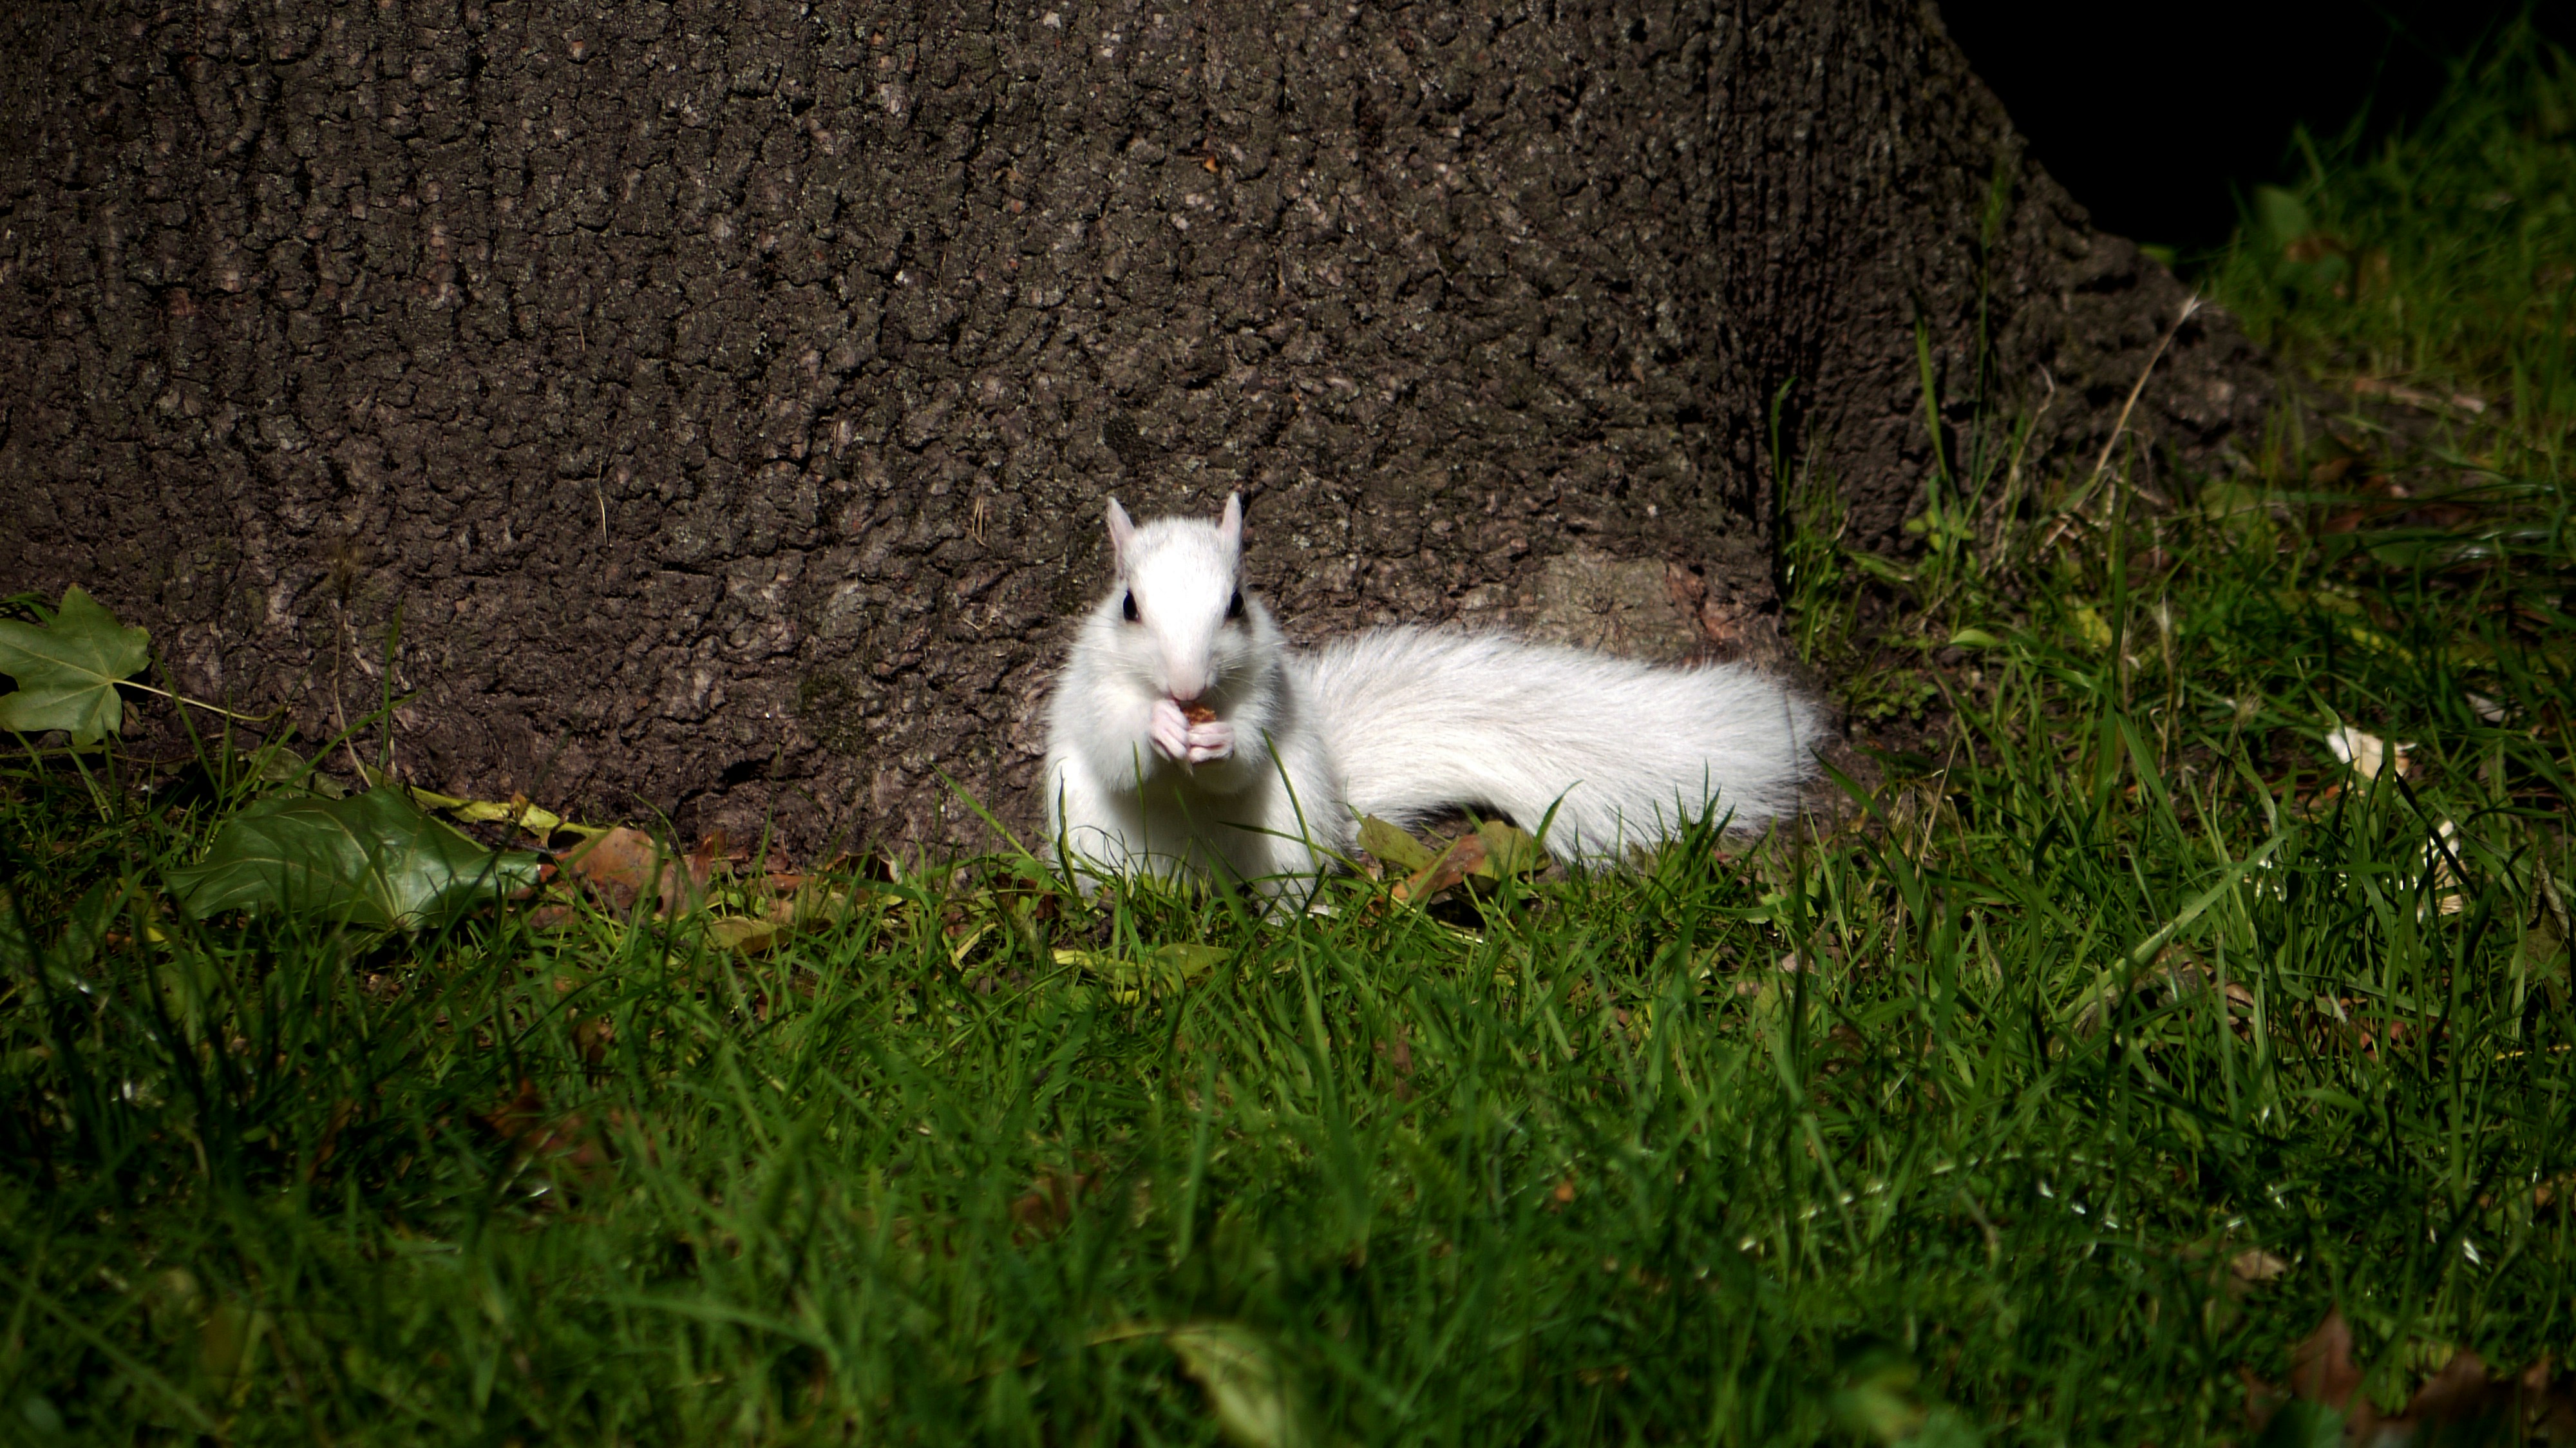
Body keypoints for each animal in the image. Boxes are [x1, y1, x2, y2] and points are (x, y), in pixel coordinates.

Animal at [1041, 493, 1821, 892]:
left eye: (1235, 604)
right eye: (1129, 607)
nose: (1186, 686)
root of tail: (1204, 884)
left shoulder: (1267, 689)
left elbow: (1246, 754)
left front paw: (1217, 738)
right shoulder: (1090, 687)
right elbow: (1117, 749)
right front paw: (1158, 730)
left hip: (1289, 828)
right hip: (1090, 837)